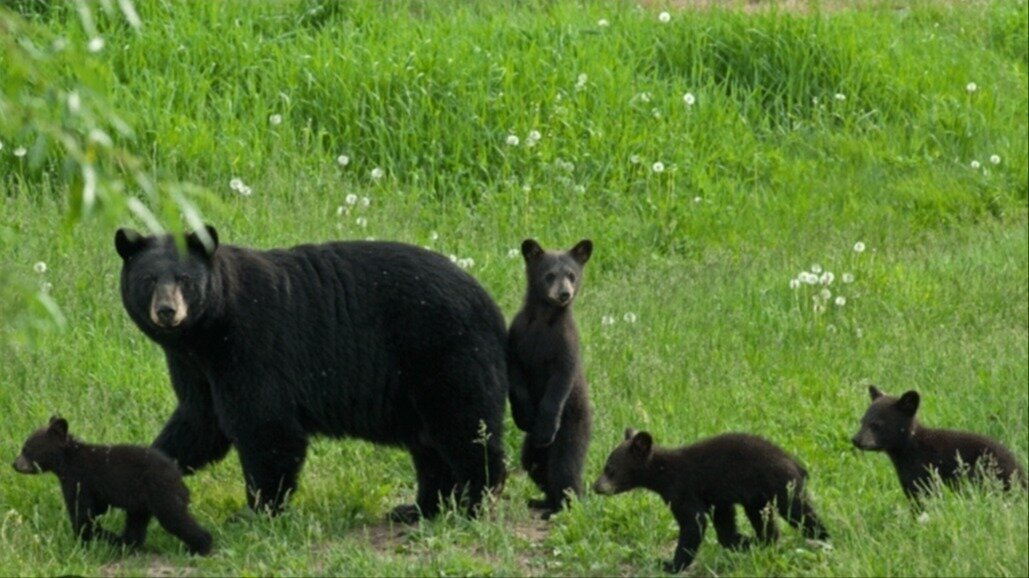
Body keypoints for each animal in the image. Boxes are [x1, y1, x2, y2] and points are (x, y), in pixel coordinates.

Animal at [12, 416, 212, 555]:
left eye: (26, 448)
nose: (14, 464)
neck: (68, 460)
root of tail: (178, 478)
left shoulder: (78, 480)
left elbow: (81, 513)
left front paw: (82, 541)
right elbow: (94, 510)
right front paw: (100, 535)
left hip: (162, 494)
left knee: (175, 519)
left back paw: (201, 546)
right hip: (142, 503)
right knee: (136, 525)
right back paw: (124, 543)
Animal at [114, 225, 508, 521]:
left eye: (184, 279)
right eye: (149, 279)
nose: (167, 311)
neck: (208, 332)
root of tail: (491, 305)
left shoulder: (252, 346)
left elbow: (266, 426)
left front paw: (256, 512)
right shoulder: (194, 368)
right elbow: (198, 423)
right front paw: (142, 476)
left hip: (446, 354)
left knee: (465, 429)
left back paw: (472, 505)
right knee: (429, 446)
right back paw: (418, 508)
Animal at [507, 238, 593, 519]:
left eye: (572, 275)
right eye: (549, 275)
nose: (564, 293)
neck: (543, 321)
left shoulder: (566, 345)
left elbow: (559, 383)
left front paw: (545, 425)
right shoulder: (517, 336)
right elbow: (515, 376)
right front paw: (523, 415)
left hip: (573, 430)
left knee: (565, 470)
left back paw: (562, 508)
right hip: (532, 451)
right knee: (535, 465)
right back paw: (543, 501)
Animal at [594, 429, 829, 574]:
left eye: (610, 468)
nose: (595, 486)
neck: (662, 472)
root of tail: (796, 463)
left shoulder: (682, 489)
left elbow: (693, 523)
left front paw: (670, 564)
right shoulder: (716, 497)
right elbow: (724, 523)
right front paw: (744, 541)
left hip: (780, 485)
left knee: (799, 511)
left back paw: (822, 538)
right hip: (758, 498)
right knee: (765, 521)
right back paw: (766, 541)